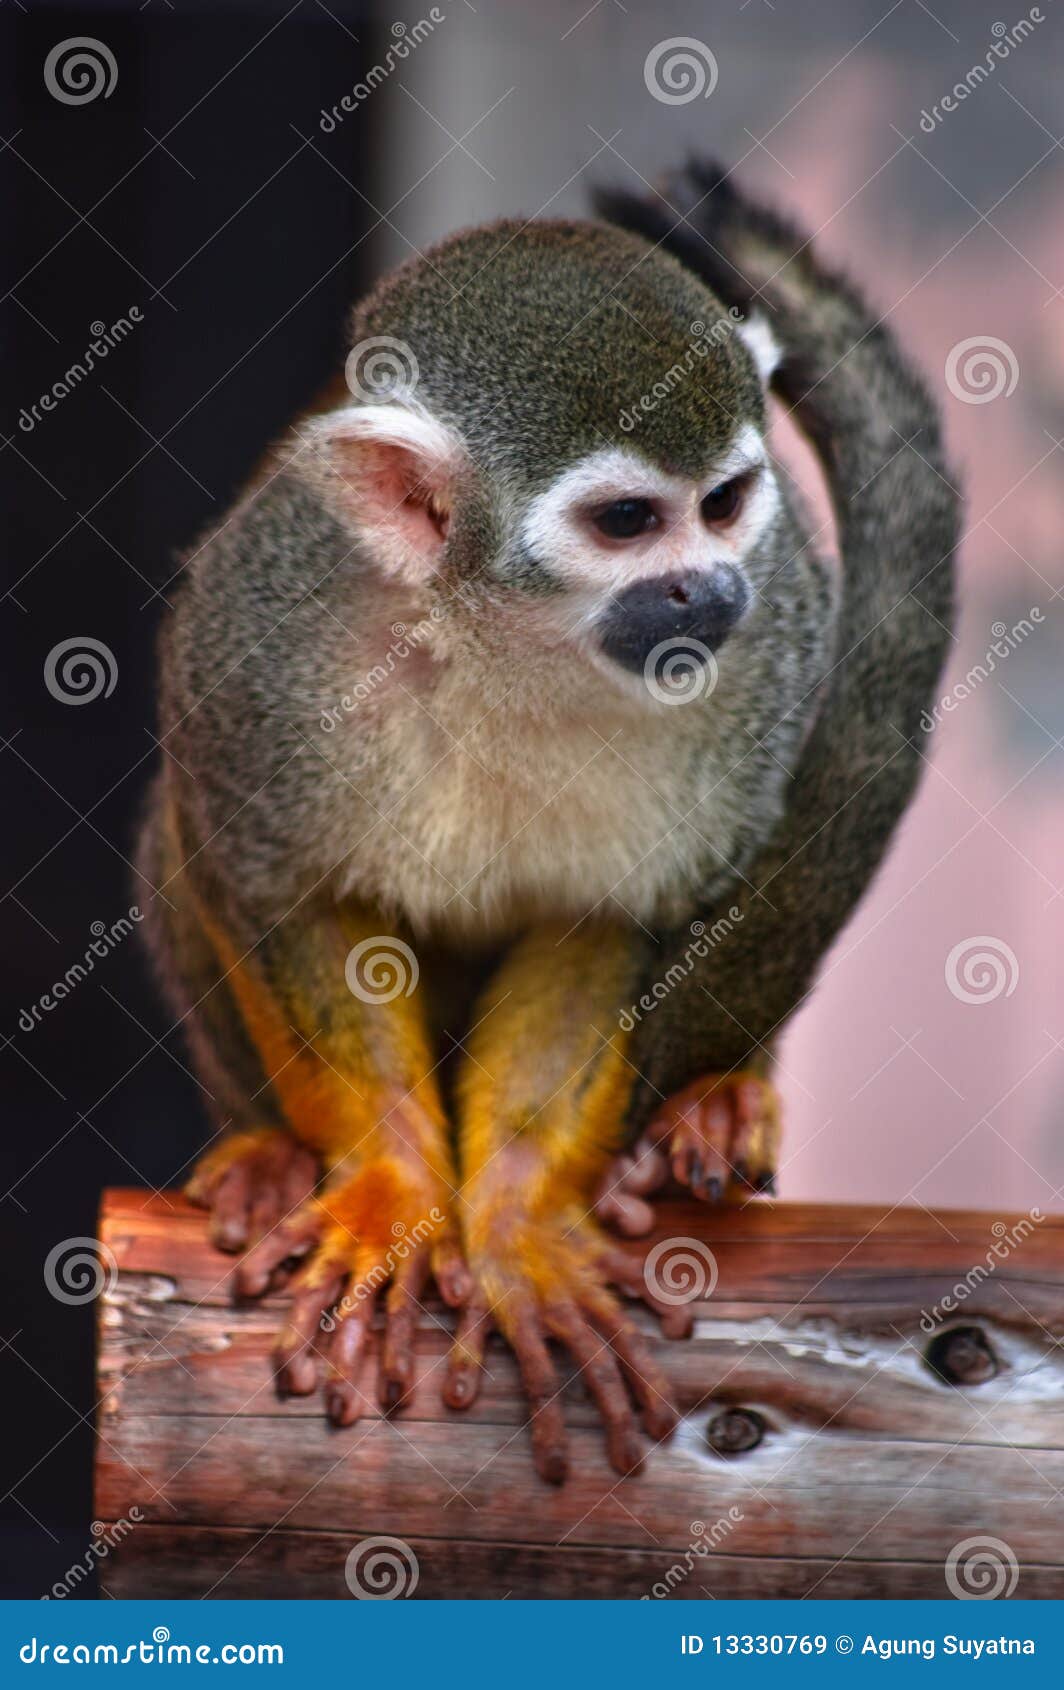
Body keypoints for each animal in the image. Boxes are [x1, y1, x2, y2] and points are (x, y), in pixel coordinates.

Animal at [136, 162, 958, 1484]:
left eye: (722, 503)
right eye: (625, 522)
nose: (705, 587)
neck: (502, 639)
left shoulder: (771, 625)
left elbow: (607, 924)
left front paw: (517, 1216)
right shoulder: (257, 637)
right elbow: (270, 882)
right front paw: (389, 1190)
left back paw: (715, 1102)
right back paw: (263, 1152)